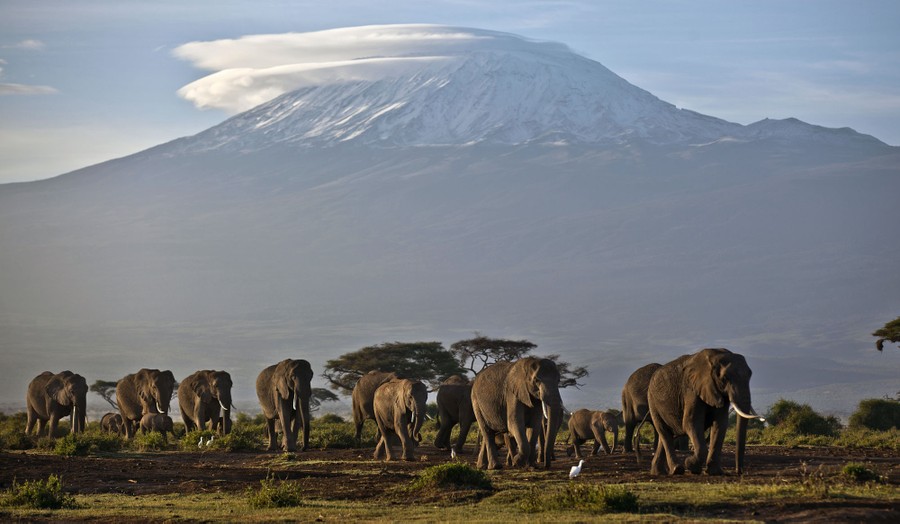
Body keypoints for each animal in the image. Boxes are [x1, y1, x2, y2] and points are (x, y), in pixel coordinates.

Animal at [646, 348, 764, 476]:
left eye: (750, 375)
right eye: (724, 379)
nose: (739, 472)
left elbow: (720, 424)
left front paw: (714, 472)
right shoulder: (691, 390)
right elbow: (691, 422)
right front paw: (690, 465)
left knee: (667, 435)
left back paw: (658, 472)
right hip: (653, 402)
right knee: (664, 432)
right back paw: (677, 470)